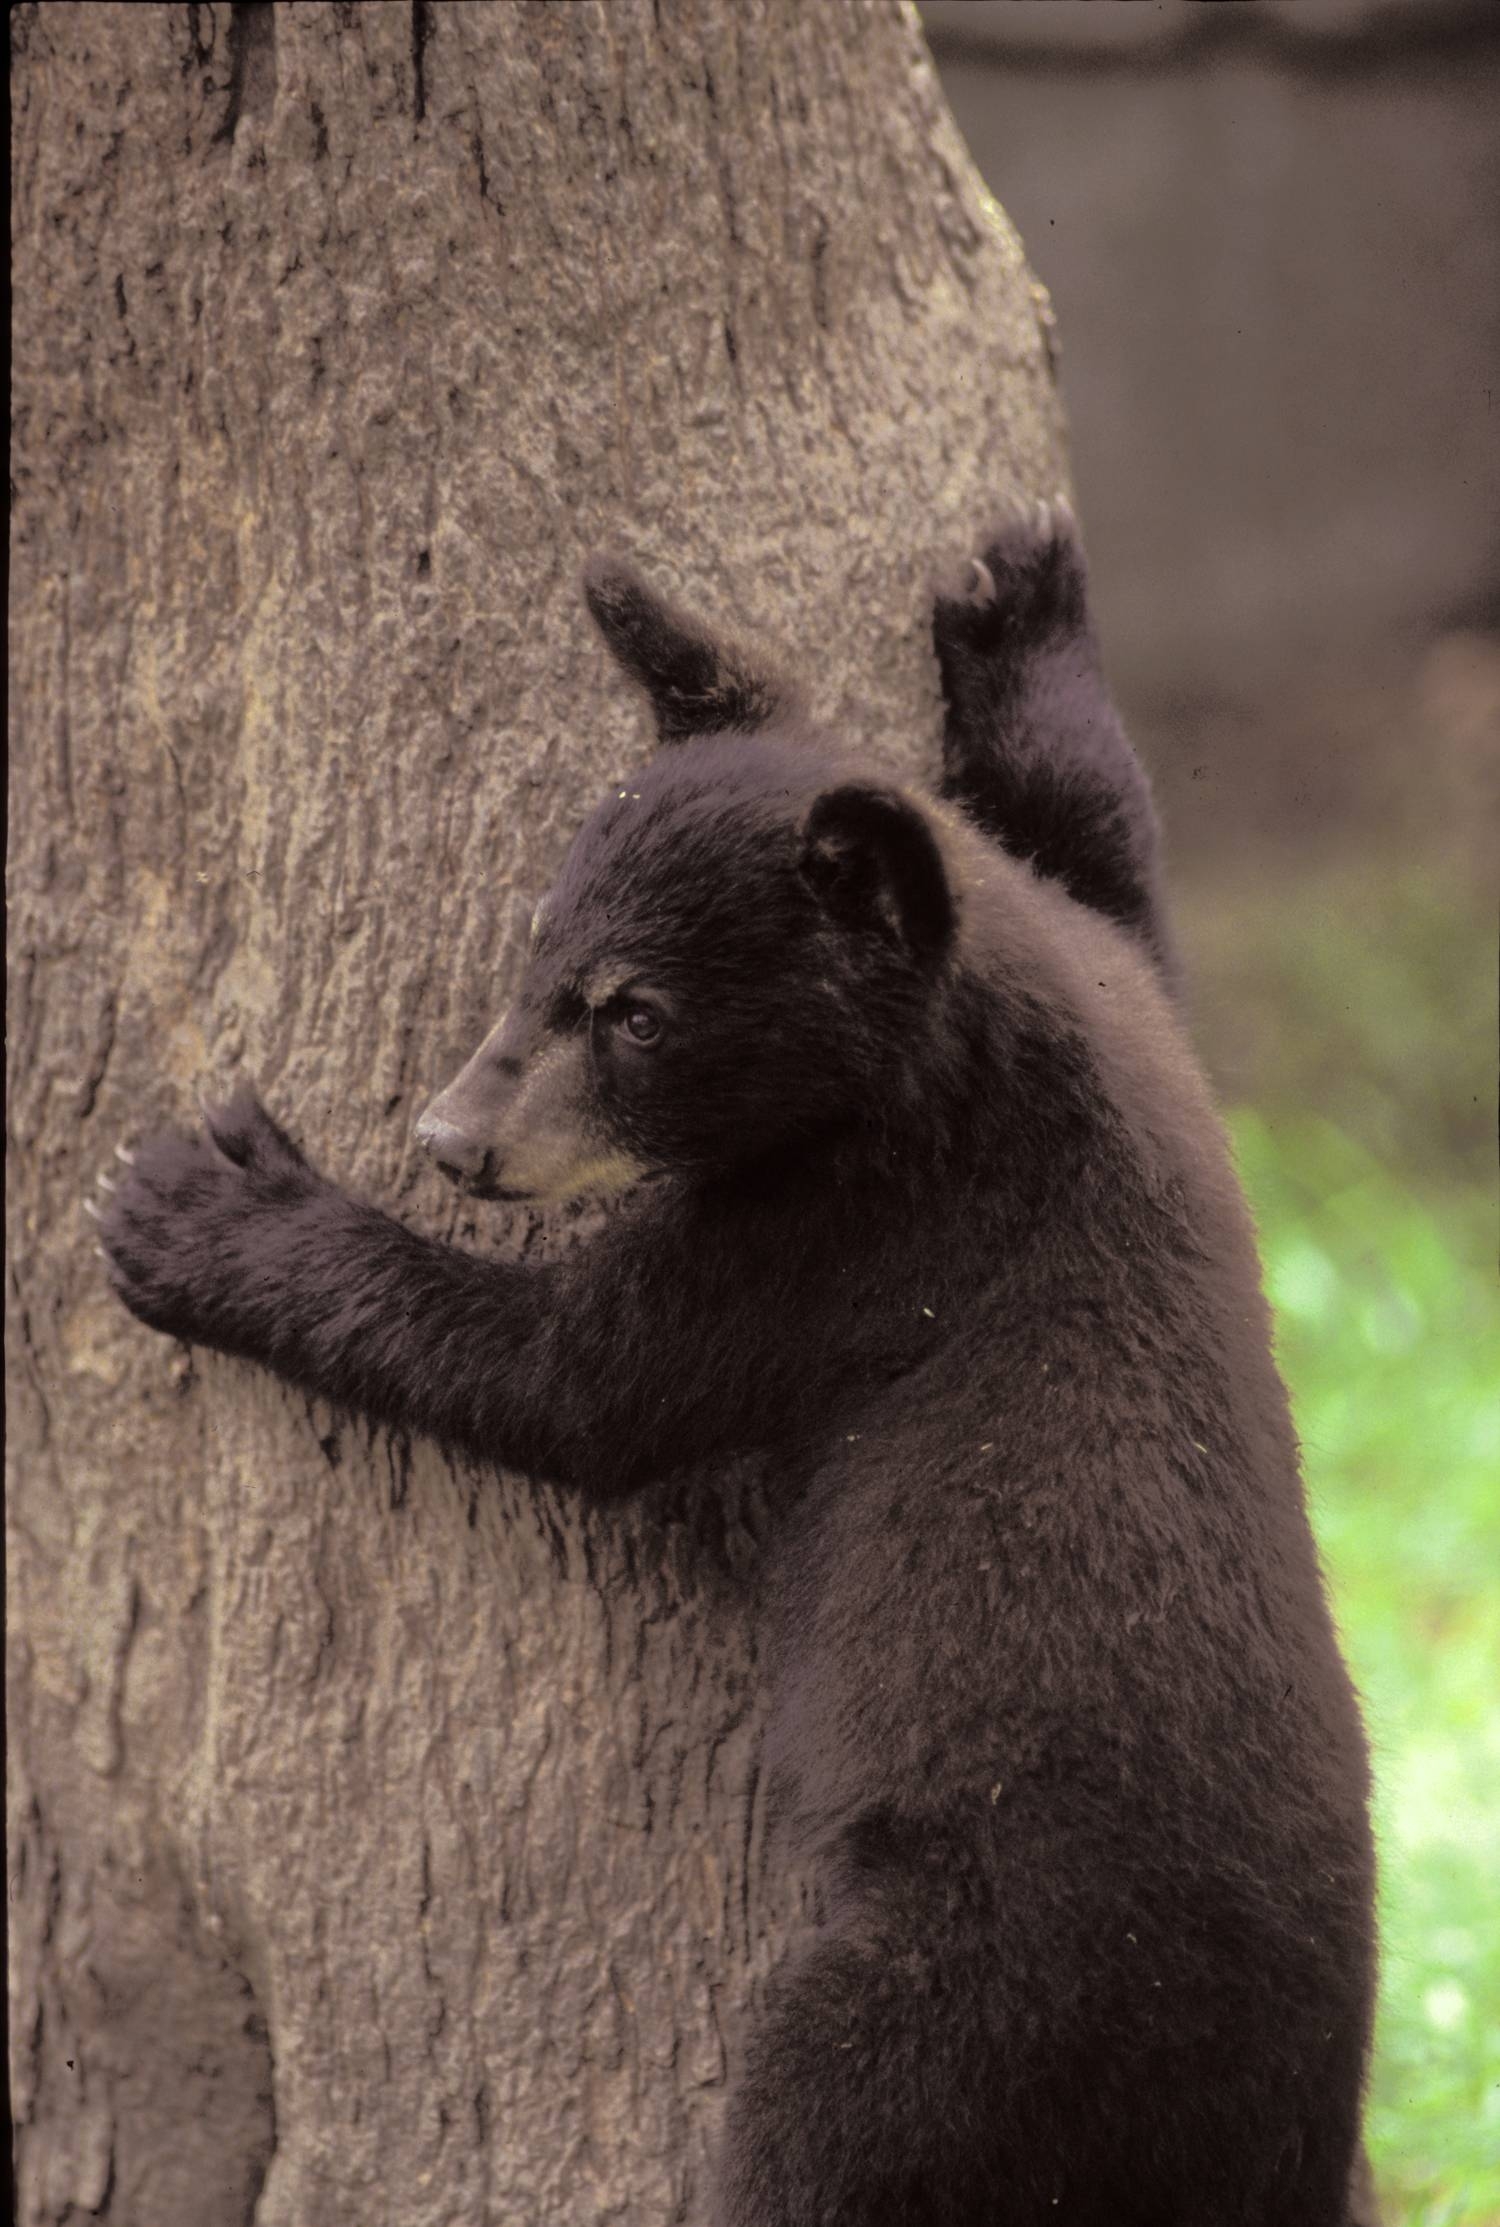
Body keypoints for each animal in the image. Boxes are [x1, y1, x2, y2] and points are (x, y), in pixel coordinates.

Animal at [97, 508, 1376, 2226]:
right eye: (535, 946)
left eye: (636, 1013)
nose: (451, 1137)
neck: (968, 1045)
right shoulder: (1127, 999)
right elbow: (1112, 857)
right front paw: (1017, 602)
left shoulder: (849, 1238)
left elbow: (577, 1383)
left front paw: (199, 1208)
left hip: (962, 1971)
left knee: (829, 2123)